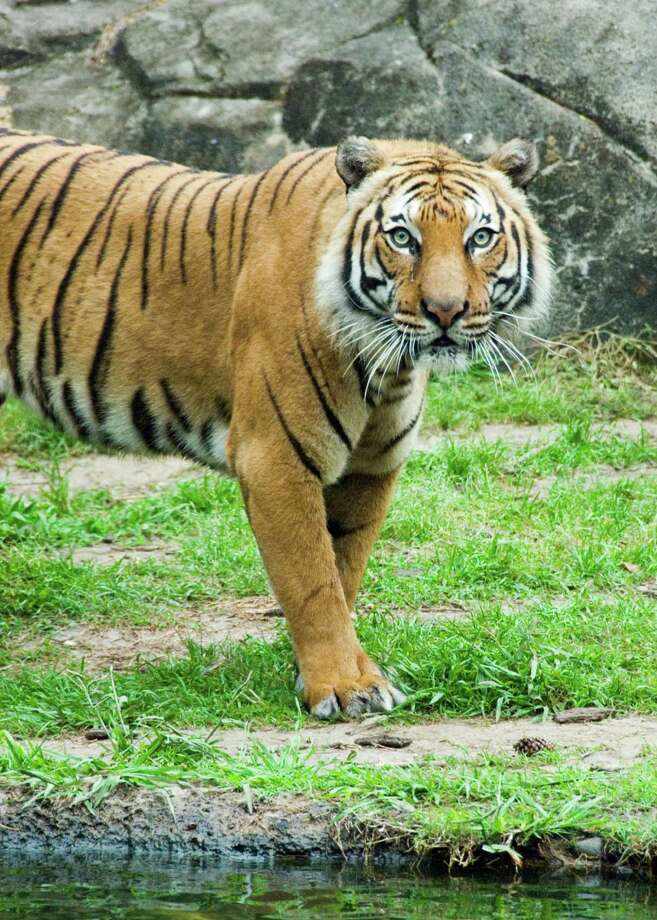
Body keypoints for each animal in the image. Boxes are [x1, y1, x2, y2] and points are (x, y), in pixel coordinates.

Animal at [0, 128, 552, 719]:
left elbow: (343, 571)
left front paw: (317, 672)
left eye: (480, 237)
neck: (387, 368)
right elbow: (312, 579)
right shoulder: (275, 458)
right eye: (404, 238)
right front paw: (344, 686)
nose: (445, 311)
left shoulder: (371, 466)